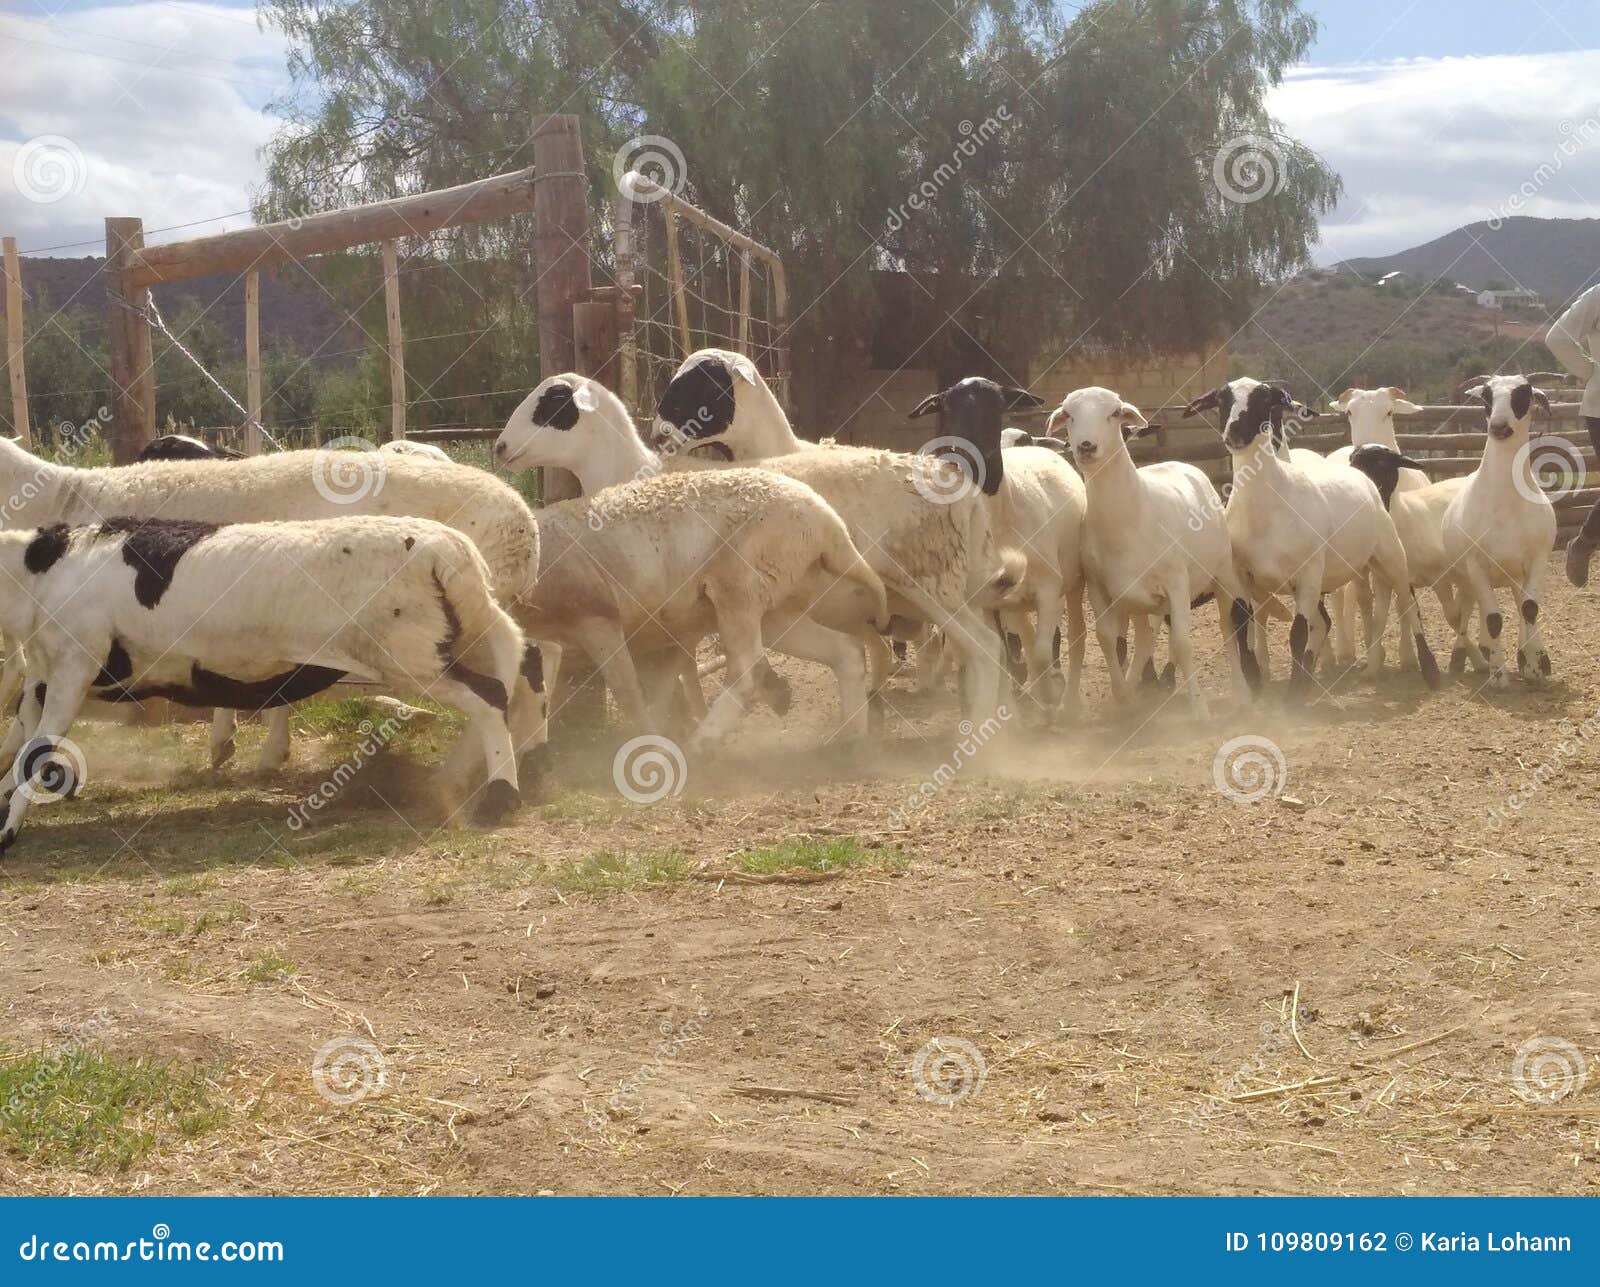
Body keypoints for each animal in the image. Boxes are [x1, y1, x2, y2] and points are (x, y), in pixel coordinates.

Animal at [0, 514, 525, 853]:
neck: (35, 574)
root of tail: (451, 551)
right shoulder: (44, 676)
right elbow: (21, 739)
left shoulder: (73, 666)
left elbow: (34, 750)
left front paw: (7, 831)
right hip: (457, 636)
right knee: (509, 669)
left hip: (411, 653)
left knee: (491, 698)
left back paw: (501, 797)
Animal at [499, 362, 1023, 728]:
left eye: (553, 403)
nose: (500, 448)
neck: (635, 470)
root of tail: (964, 488)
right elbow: (684, 670)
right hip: (947, 588)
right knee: (984, 647)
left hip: (930, 585)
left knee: (983, 648)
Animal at [1047, 386, 1259, 718]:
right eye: (1068, 414)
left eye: (1115, 413)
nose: (1086, 446)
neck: (1130, 516)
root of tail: (1180, 463)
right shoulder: (1098, 586)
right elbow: (1106, 638)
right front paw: (1122, 696)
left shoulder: (1176, 582)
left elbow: (1182, 643)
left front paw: (1199, 709)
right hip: (1139, 599)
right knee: (1145, 638)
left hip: (1223, 575)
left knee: (1229, 629)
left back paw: (1242, 695)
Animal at [1202, 381, 1441, 697]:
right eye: (1221, 400)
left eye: (1265, 400)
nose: (1235, 431)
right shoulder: (1244, 578)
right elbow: (1248, 627)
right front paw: (1259, 681)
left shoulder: (1312, 574)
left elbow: (1303, 632)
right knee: (1321, 619)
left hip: (1387, 557)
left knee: (1405, 602)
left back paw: (1427, 669)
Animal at [1440, 374, 1559, 687]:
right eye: (1486, 396)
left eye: (1523, 394)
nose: (1498, 426)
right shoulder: (1476, 564)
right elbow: (1493, 618)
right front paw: (1497, 676)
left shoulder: (1537, 560)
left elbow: (1529, 610)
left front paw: (1534, 669)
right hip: (1468, 576)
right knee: (1470, 611)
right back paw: (1466, 658)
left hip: (1515, 574)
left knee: (1520, 607)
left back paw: (1531, 656)